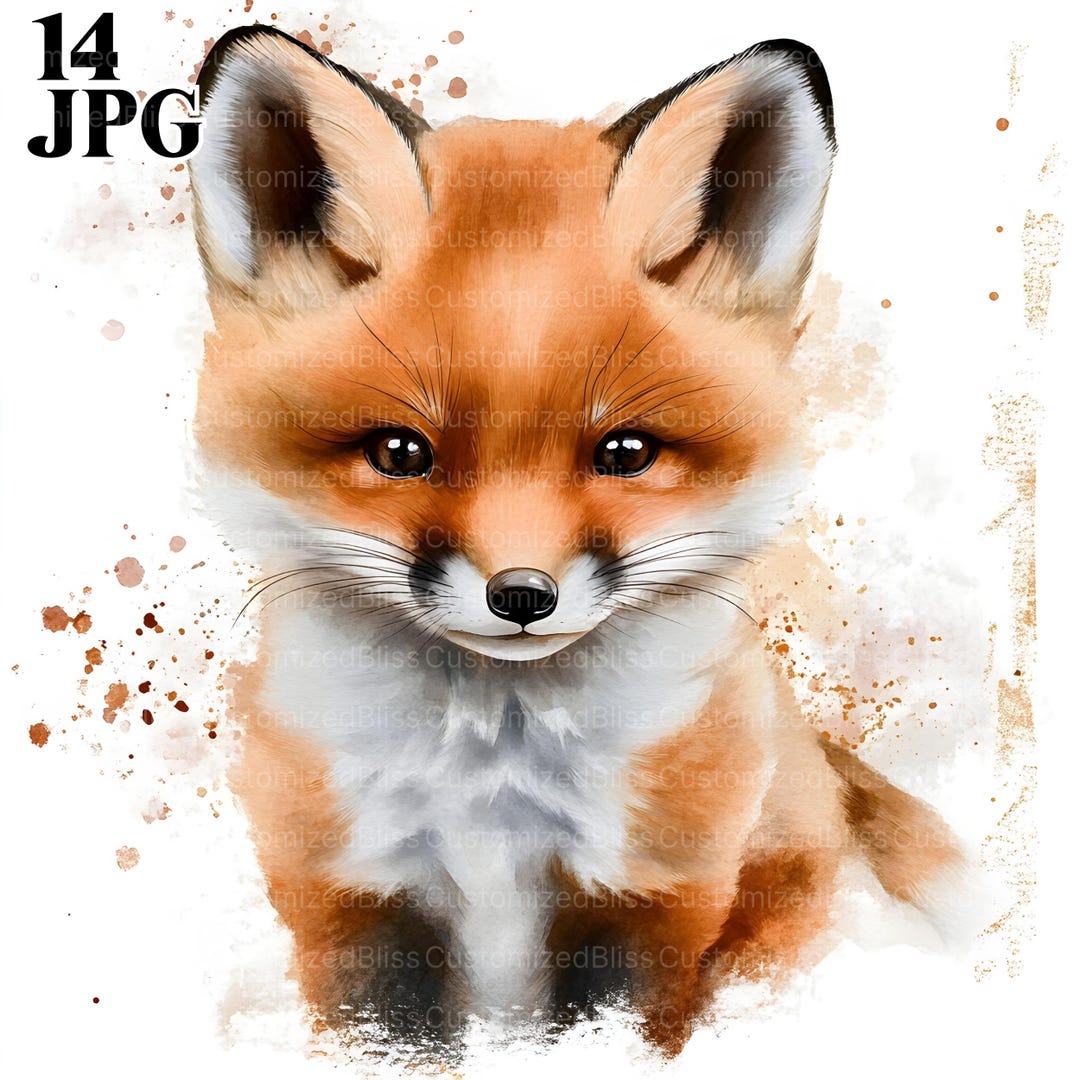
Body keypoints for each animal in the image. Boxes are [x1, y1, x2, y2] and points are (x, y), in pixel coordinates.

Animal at [189, 26, 965, 1054]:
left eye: (624, 451)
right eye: (400, 451)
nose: (521, 595)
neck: (493, 797)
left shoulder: (656, 904)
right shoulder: (350, 911)